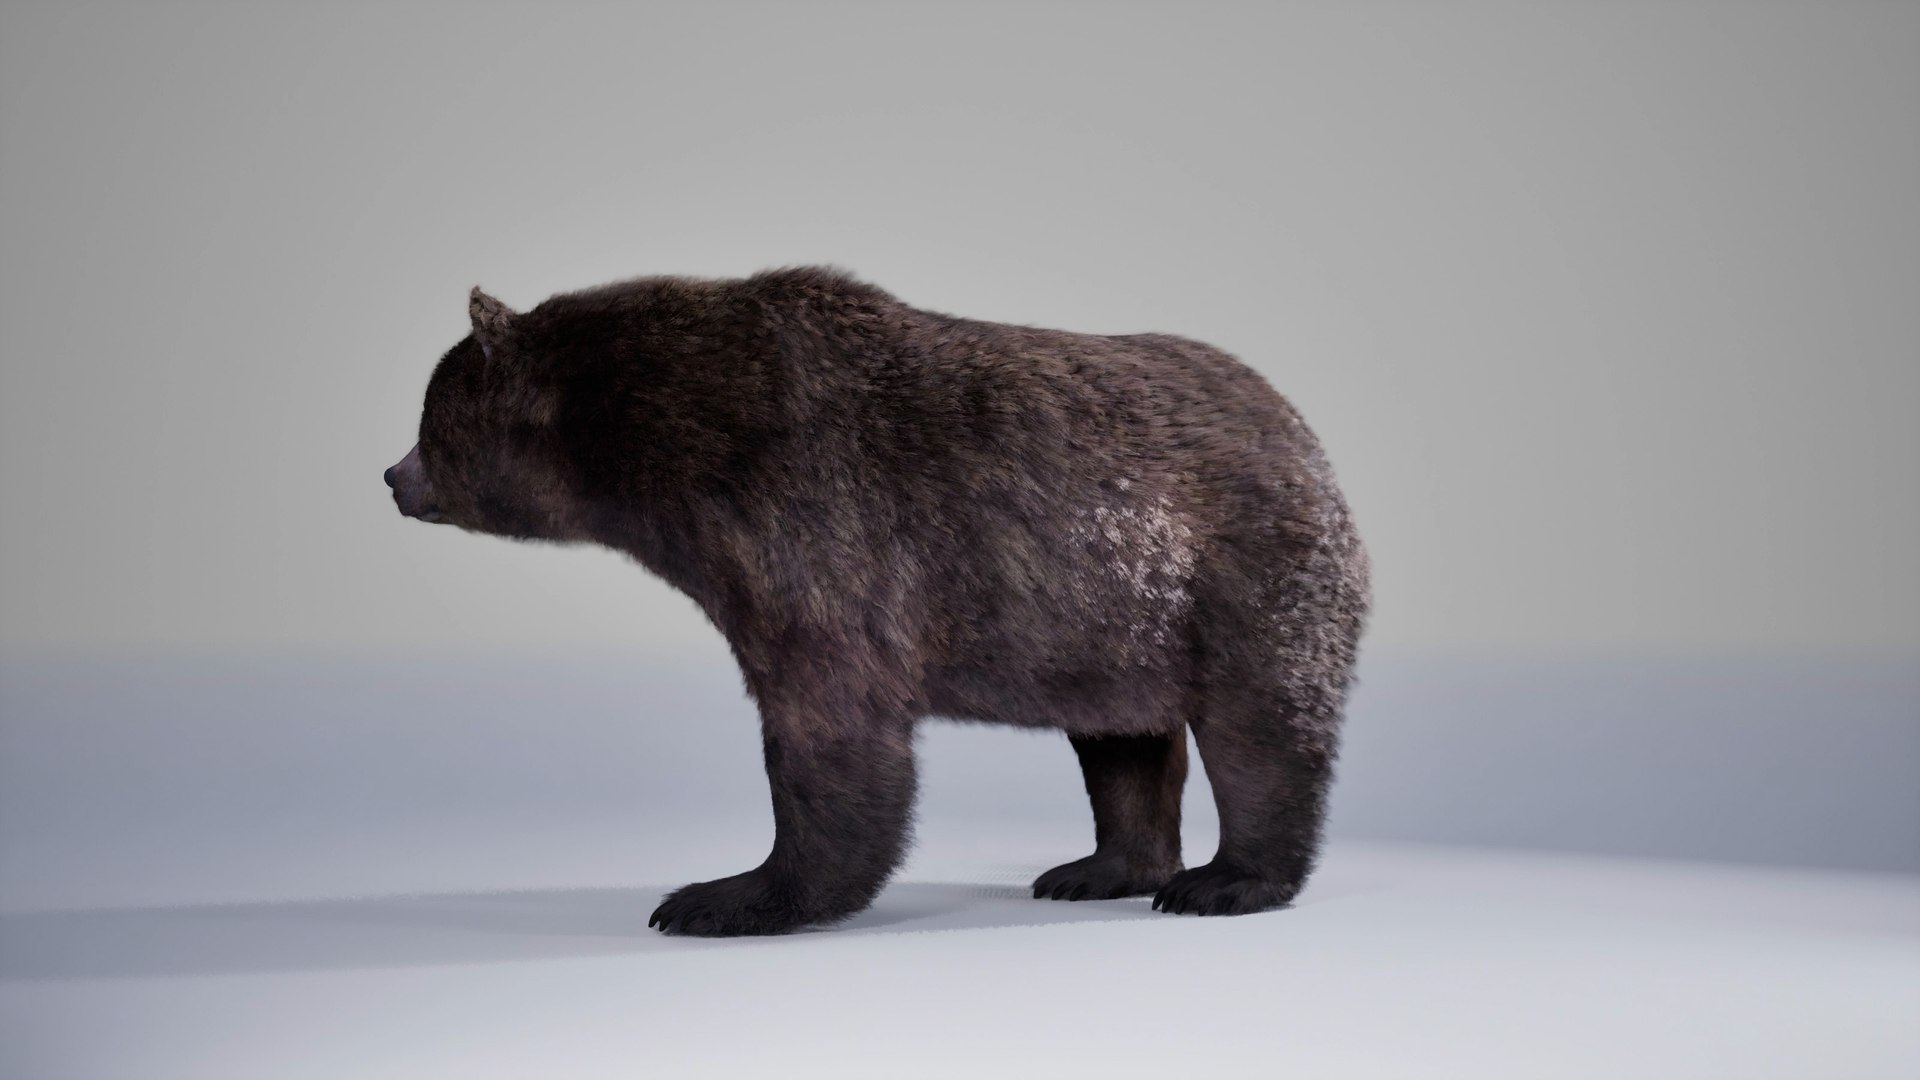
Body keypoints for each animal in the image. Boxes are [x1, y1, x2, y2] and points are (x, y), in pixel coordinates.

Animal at [384, 267, 1370, 935]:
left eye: (429, 418)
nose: (393, 477)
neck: (656, 445)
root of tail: (1302, 431)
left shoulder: (809, 524)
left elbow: (830, 724)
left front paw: (722, 896)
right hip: (1116, 619)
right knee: (1122, 739)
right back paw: (1100, 867)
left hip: (1243, 575)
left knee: (1260, 727)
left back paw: (1225, 881)